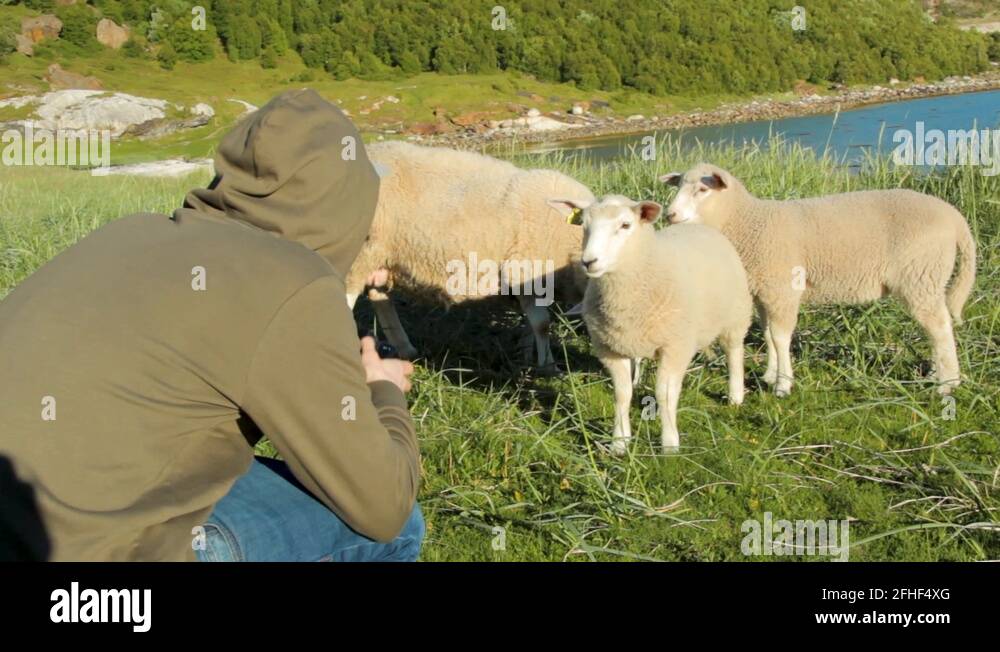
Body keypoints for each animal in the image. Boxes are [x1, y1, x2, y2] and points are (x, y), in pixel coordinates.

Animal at [346, 141, 594, 370]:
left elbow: (532, 326)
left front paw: (527, 355)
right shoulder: (524, 270)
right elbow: (542, 324)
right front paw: (548, 366)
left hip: (380, 257)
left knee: (380, 298)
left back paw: (406, 349)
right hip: (359, 253)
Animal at [548, 195, 752, 454]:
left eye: (625, 225)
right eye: (583, 225)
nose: (589, 261)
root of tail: (698, 225)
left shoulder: (675, 347)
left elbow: (664, 395)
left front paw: (670, 445)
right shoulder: (610, 348)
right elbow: (622, 394)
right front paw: (619, 442)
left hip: (735, 315)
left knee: (734, 352)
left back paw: (735, 395)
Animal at [660, 164, 977, 396]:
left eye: (702, 189)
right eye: (678, 186)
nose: (670, 214)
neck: (747, 222)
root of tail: (955, 218)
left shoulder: (782, 288)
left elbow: (780, 337)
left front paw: (783, 385)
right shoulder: (764, 291)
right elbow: (768, 334)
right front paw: (770, 375)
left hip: (920, 275)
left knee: (940, 327)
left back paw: (947, 384)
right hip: (926, 279)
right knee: (936, 329)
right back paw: (938, 373)